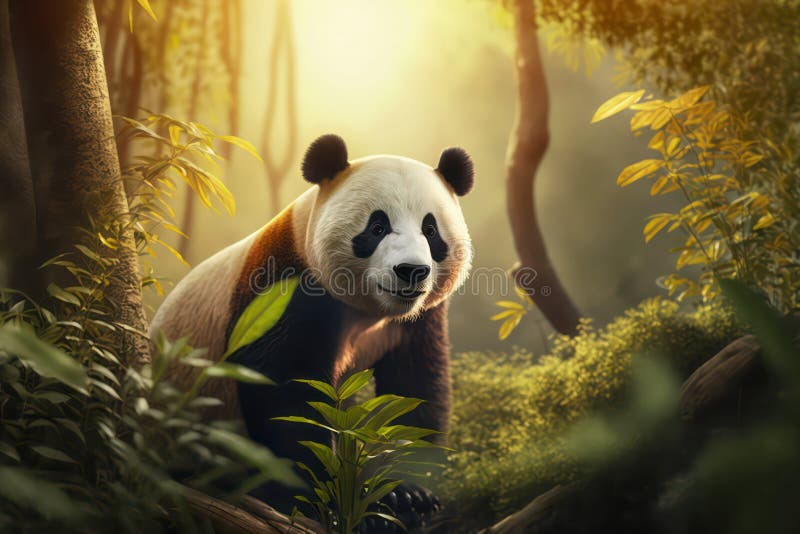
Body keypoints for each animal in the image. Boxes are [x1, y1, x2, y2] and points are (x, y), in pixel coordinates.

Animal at [149, 134, 474, 526]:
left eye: (430, 230)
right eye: (377, 227)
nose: (411, 271)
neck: (369, 311)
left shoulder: (417, 320)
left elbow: (413, 389)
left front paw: (406, 496)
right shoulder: (284, 288)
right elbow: (287, 392)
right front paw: (322, 502)